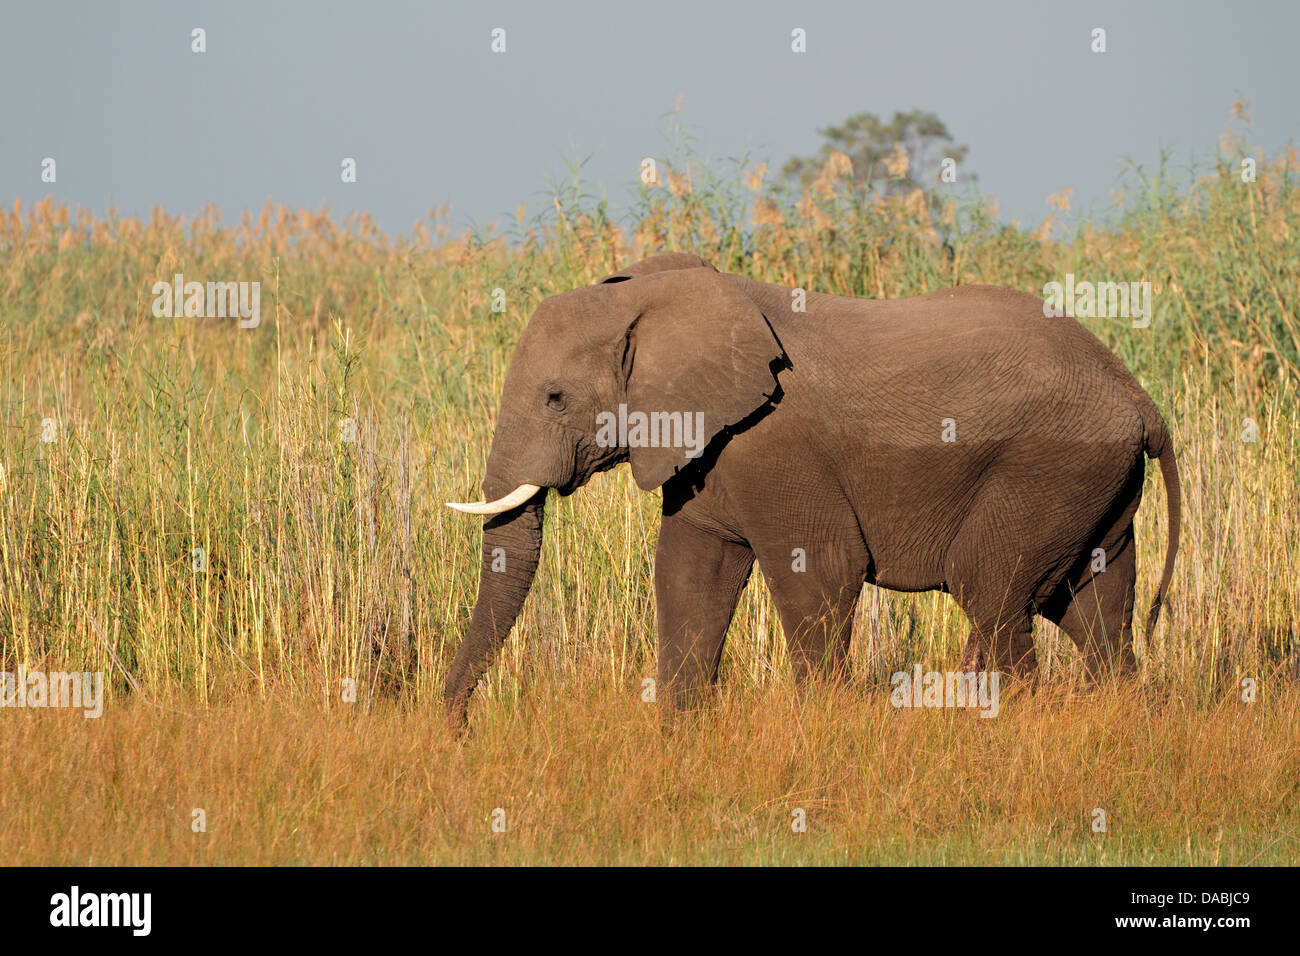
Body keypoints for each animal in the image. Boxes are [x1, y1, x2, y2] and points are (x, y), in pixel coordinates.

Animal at [444, 253, 1180, 724]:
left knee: (990, 585)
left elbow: (821, 570)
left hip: (1050, 467)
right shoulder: (705, 448)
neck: (656, 294)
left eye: (555, 397)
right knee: (1094, 606)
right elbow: (689, 573)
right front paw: (681, 741)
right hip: (1096, 484)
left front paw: (822, 734)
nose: (458, 731)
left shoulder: (775, 443)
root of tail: (1140, 399)